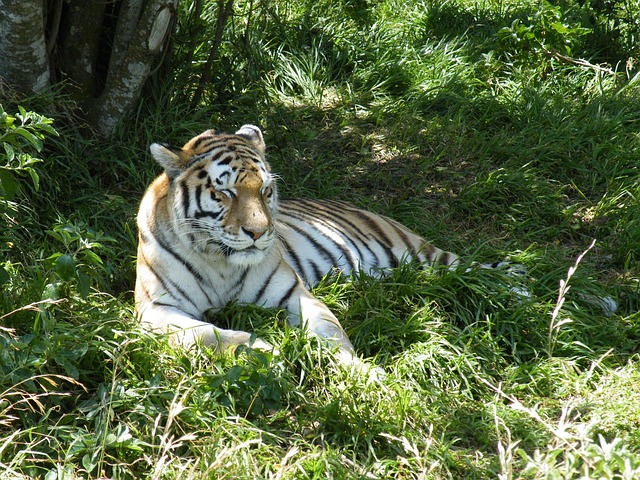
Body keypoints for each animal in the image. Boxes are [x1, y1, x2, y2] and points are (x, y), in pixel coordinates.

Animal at [135, 125, 511, 368]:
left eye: (265, 191)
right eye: (225, 191)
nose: (259, 232)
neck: (220, 261)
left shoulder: (294, 294)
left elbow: (332, 334)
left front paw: (361, 372)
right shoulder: (154, 309)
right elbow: (211, 335)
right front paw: (266, 351)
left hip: (425, 256)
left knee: (484, 273)